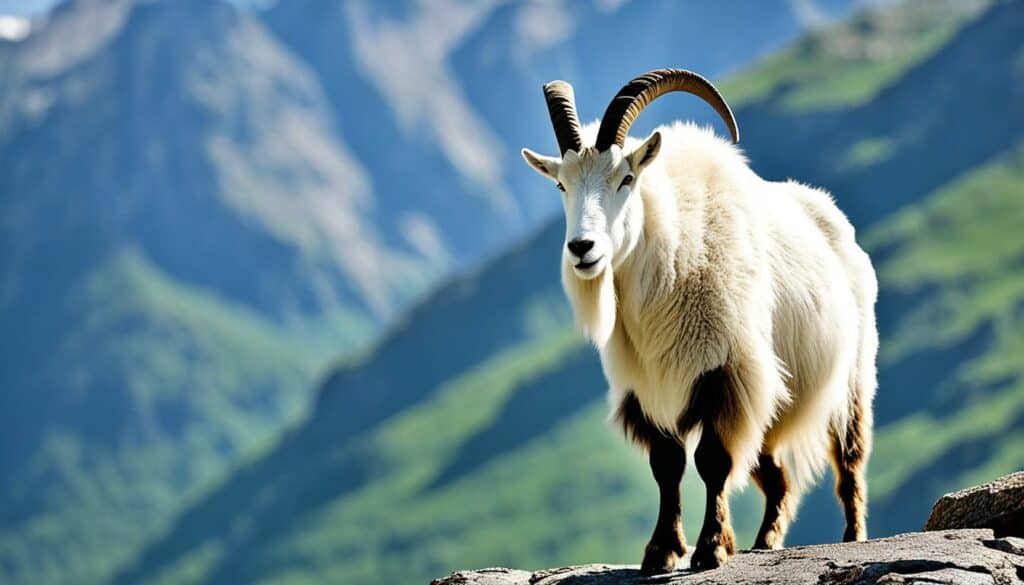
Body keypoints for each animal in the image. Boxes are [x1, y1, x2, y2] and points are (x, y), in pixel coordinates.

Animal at [521, 69, 878, 573]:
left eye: (626, 178)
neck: (670, 257)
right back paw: (765, 542)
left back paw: (852, 536)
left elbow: (712, 460)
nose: (582, 249)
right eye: (561, 186)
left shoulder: (724, 371)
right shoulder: (646, 388)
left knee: (848, 458)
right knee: (778, 476)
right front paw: (661, 551)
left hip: (853, 377)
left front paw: (710, 548)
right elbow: (667, 466)